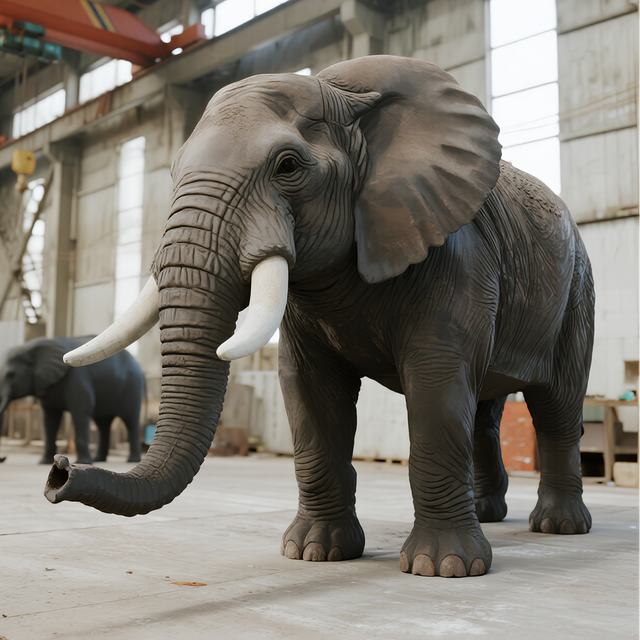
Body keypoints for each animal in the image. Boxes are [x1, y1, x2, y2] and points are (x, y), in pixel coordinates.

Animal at [0, 336, 144, 464]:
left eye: (11, 375)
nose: (4, 458)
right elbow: (50, 418)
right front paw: (44, 463)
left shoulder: (77, 380)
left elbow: (81, 411)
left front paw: (83, 463)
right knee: (103, 424)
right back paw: (99, 459)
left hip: (133, 387)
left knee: (130, 421)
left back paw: (132, 460)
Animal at [44, 56, 594, 578]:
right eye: (175, 171)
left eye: (287, 166)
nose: (59, 472)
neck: (347, 96)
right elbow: (309, 391)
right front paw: (313, 554)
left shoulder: (456, 255)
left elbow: (437, 384)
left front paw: (444, 568)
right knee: (484, 411)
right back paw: (488, 512)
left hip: (578, 290)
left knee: (556, 405)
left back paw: (559, 526)